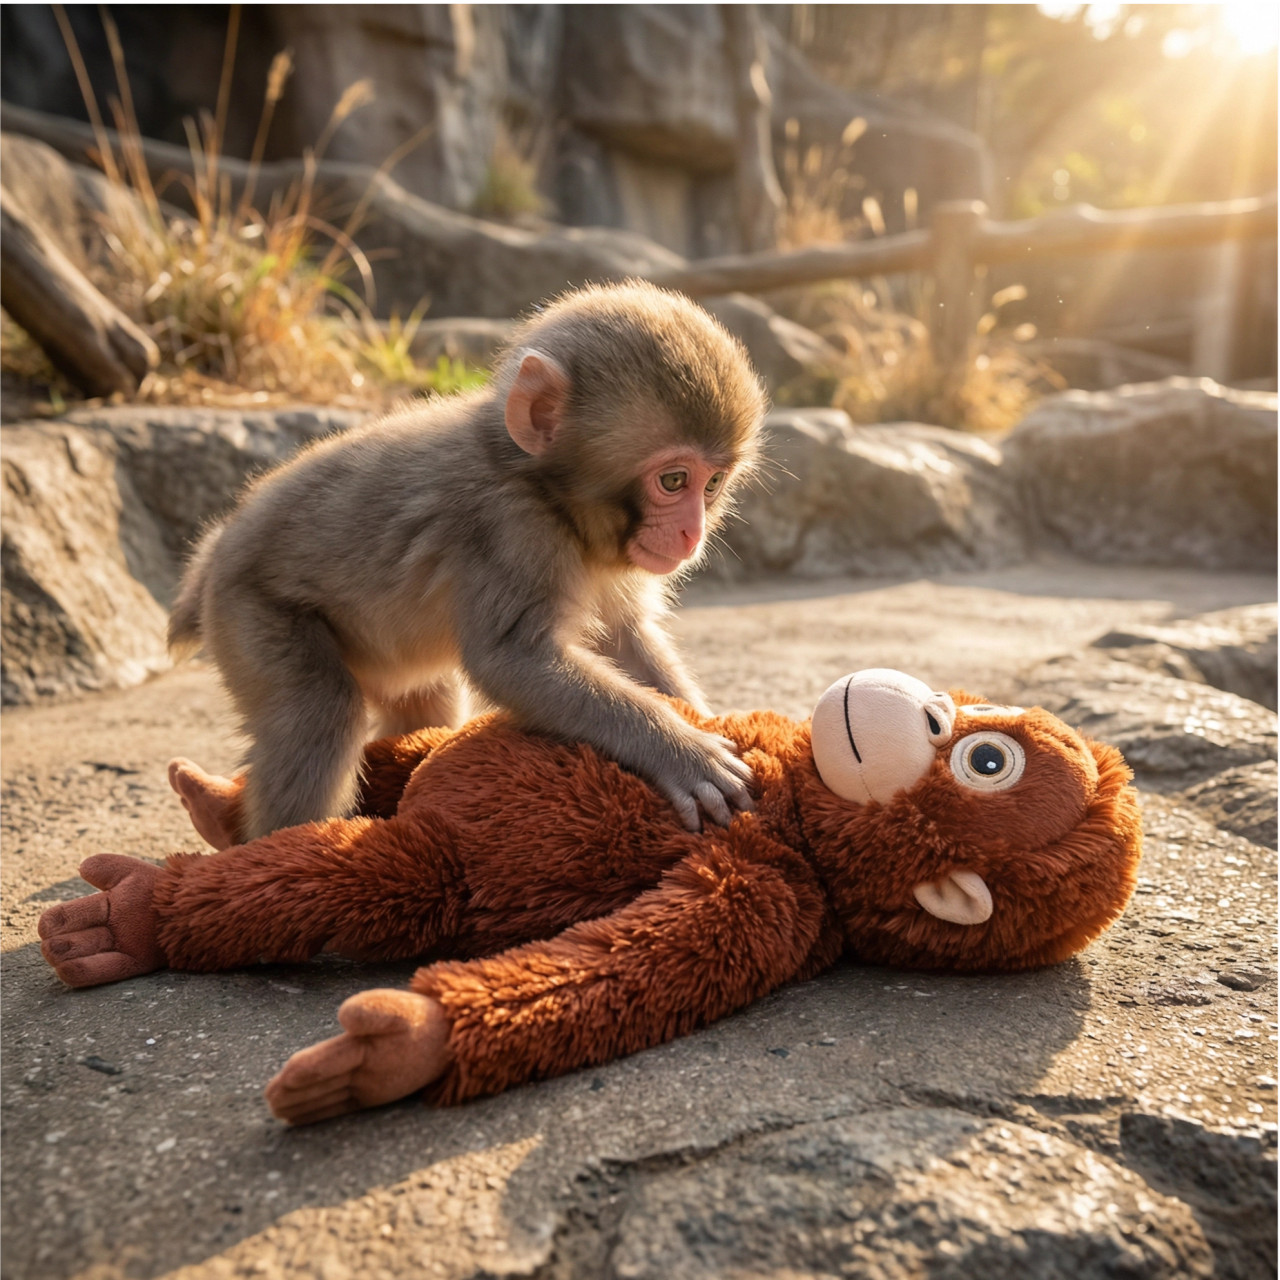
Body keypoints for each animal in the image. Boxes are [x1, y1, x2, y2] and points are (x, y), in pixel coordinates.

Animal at [168, 281, 766, 840]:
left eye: (713, 483)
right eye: (674, 480)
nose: (692, 532)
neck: (543, 489)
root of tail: (219, 548)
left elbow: (622, 638)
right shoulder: (509, 531)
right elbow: (512, 658)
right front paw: (679, 752)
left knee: (421, 706)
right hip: (249, 612)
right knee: (319, 711)